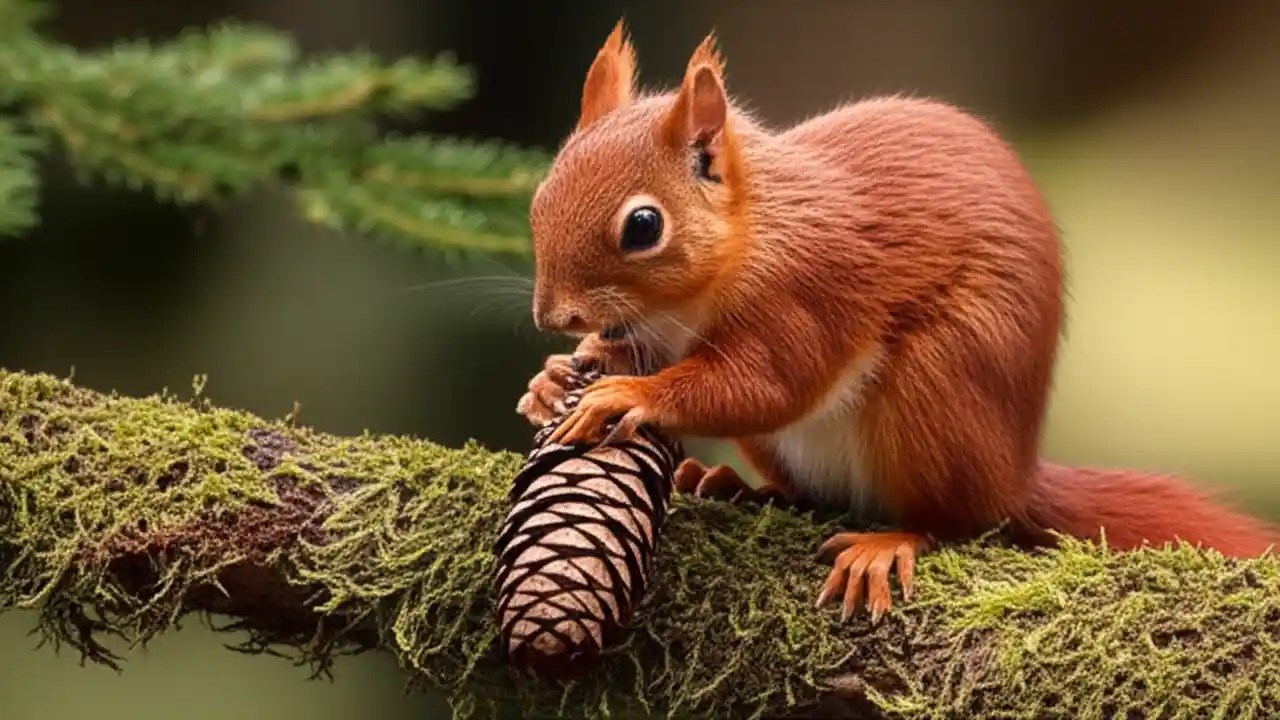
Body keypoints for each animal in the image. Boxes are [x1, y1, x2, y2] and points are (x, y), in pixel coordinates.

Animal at [514, 21, 1279, 623]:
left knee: (956, 520)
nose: (552, 316)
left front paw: (627, 394)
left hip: (938, 388)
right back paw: (731, 482)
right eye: (540, 194)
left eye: (643, 226)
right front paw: (553, 379)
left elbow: (766, 384)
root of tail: (1016, 473)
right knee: (810, 492)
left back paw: (890, 543)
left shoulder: (807, 293)